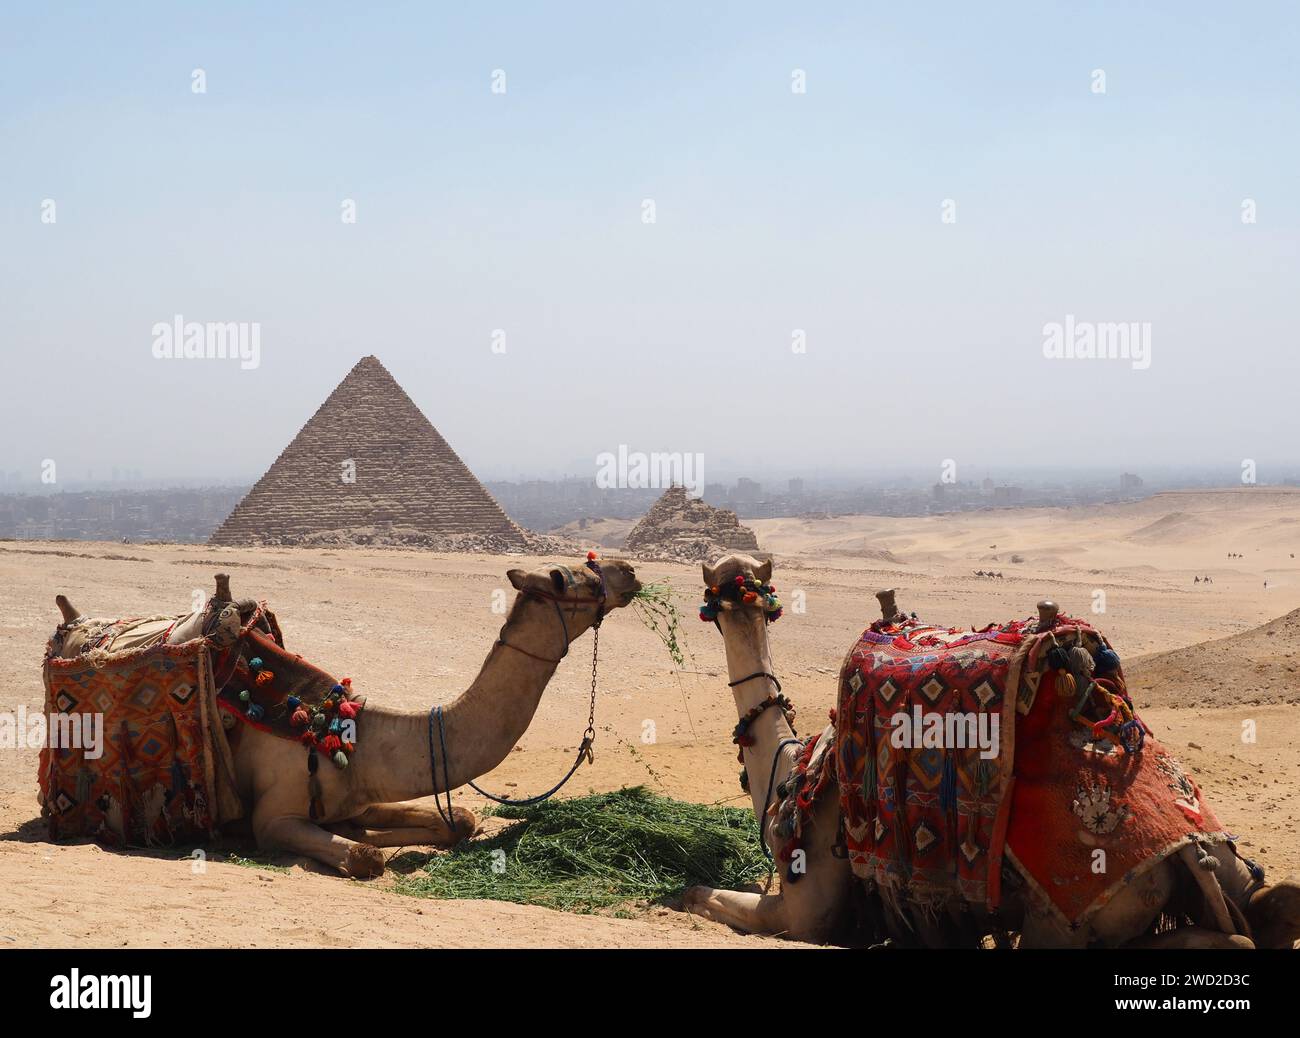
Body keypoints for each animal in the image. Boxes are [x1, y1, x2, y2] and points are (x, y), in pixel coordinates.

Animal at [50, 556, 640, 877]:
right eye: (575, 578)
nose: (630, 572)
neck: (351, 733)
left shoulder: (363, 792)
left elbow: (460, 820)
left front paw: (378, 831)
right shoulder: (275, 816)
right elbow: (363, 858)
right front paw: (362, 844)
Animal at [683, 553, 1300, 948]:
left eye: (718, 591)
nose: (721, 595)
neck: (793, 771)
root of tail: (1189, 848)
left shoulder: (806, 910)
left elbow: (702, 893)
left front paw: (679, 885)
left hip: (1069, 917)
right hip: (1217, 871)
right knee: (1259, 916)